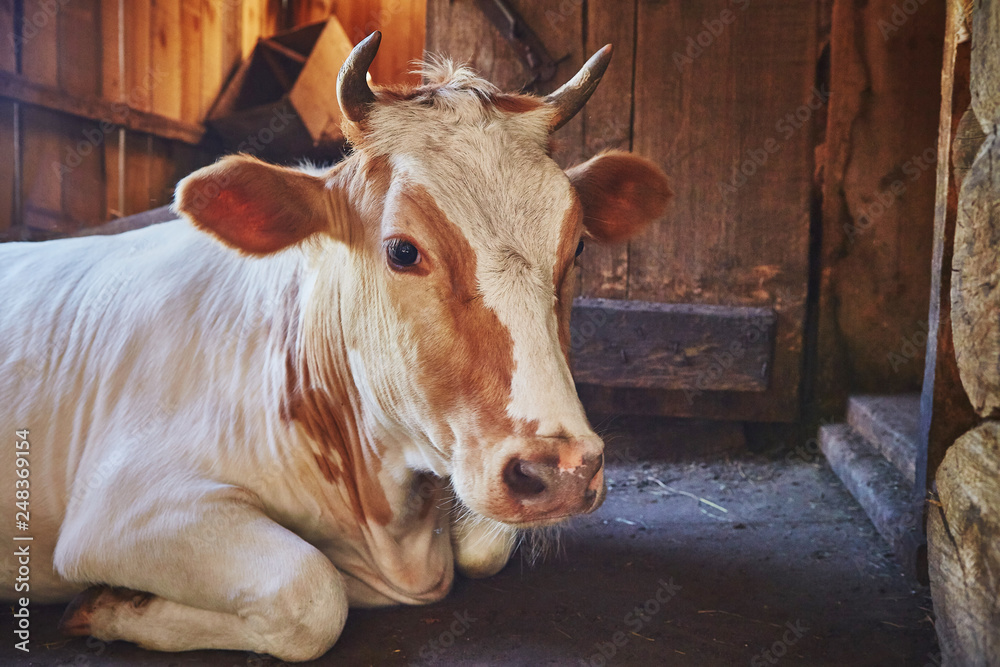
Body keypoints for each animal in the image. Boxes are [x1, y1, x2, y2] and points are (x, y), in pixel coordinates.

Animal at [0, 33, 671, 661]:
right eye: (401, 250)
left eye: (577, 247)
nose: (560, 471)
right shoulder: (122, 509)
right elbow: (312, 593)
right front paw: (109, 606)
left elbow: (486, 546)